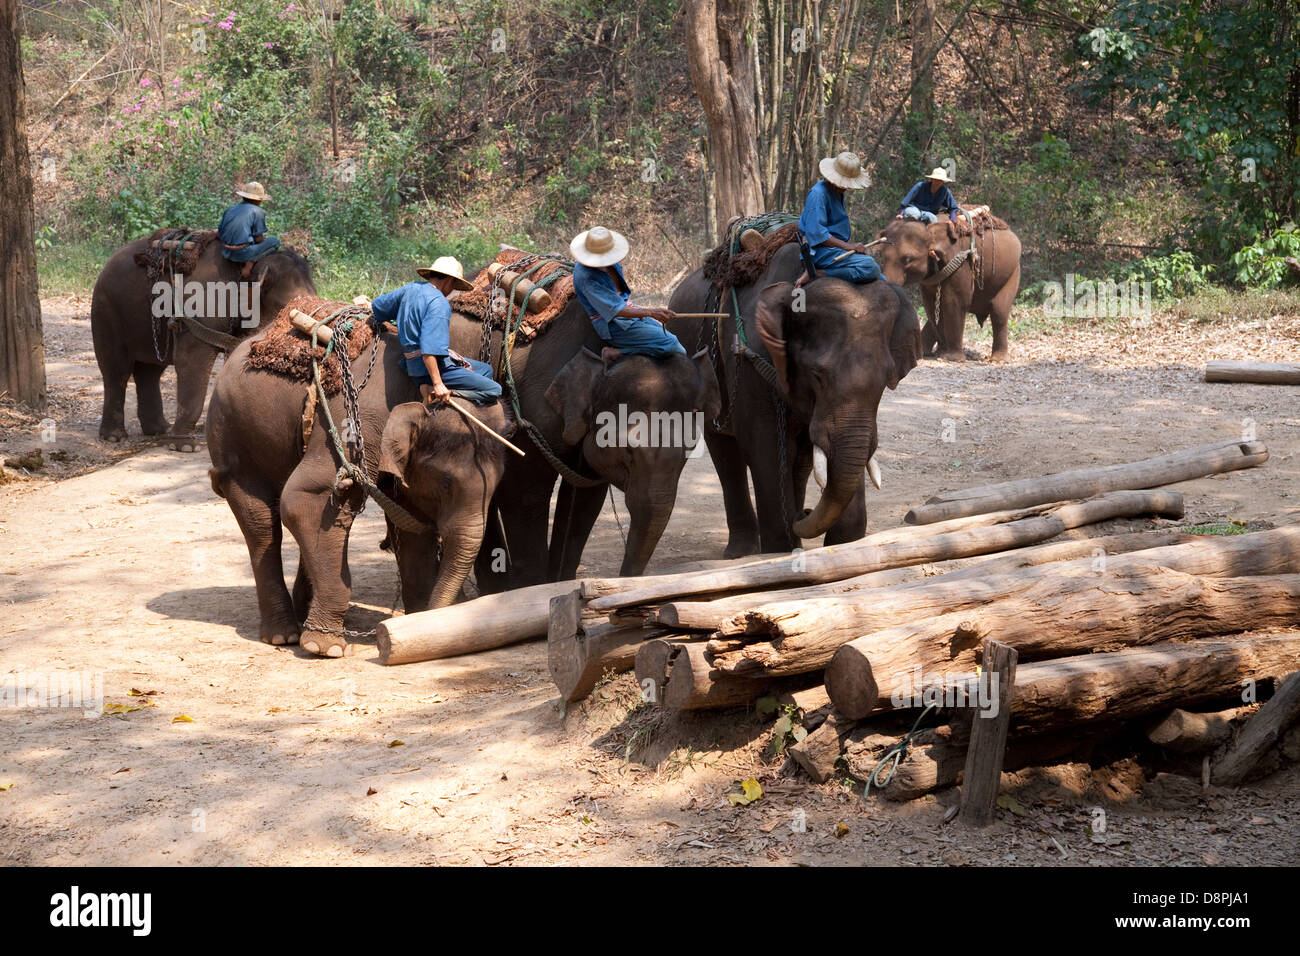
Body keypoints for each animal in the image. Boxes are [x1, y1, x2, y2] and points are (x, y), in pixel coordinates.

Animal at [91, 238, 316, 449]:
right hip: (106, 311)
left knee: (150, 371)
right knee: (117, 371)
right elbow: (190, 361)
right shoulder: (198, 311)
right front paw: (184, 446)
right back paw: (114, 436)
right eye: (285, 308)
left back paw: (159, 430)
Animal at [207, 326, 510, 658]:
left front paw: (416, 622)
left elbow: (412, 526)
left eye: (498, 484)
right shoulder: (355, 420)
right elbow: (305, 499)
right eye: (445, 483)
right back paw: (283, 635)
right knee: (262, 526)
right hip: (234, 439)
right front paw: (323, 647)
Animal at [446, 300, 720, 589]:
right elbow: (523, 494)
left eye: (689, 450)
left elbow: (584, 501)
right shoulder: (528, 415)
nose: (624, 578)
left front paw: (559, 584)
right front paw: (532, 587)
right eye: (628, 451)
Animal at [668, 243, 921, 556]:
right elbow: (764, 446)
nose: (806, 513)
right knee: (726, 453)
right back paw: (742, 550)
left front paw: (842, 542)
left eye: (886, 381)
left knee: (799, 461)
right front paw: (782, 547)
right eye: (817, 375)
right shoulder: (751, 360)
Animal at [872, 217, 1021, 362]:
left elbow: (955, 301)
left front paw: (952, 358)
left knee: (999, 312)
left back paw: (999, 360)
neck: (930, 226)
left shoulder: (961, 262)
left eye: (908, 259)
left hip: (1012, 275)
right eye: (881, 256)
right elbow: (931, 305)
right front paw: (941, 353)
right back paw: (926, 352)